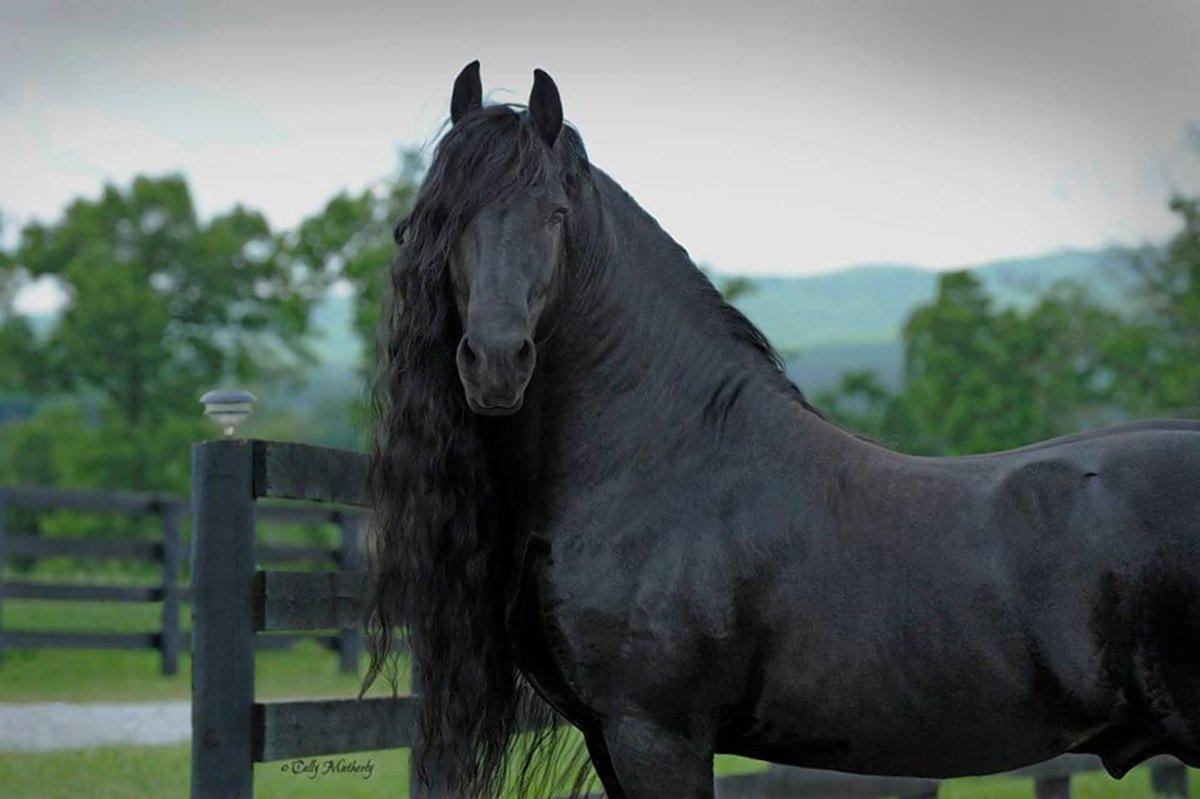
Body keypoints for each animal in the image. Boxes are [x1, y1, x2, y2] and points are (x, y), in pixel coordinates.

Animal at [364, 60, 1200, 798]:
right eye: (437, 221)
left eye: (556, 215)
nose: (495, 363)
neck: (658, 463)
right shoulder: (609, 734)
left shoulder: (656, 732)